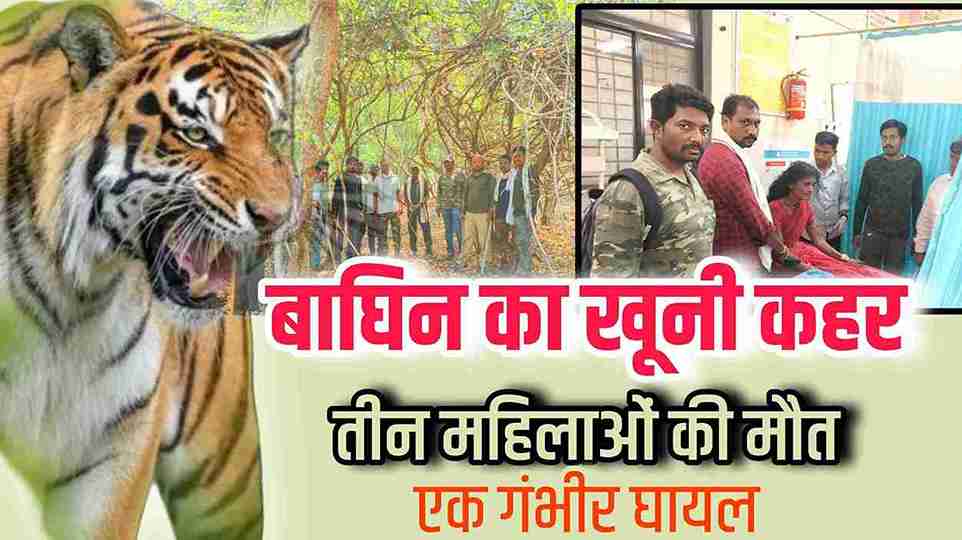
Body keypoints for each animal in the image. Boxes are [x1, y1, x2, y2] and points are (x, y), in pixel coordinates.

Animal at [0, 0, 312, 538]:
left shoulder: (112, 447)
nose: (277, 216)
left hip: (224, 474)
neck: (67, 291)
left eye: (275, 136)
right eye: (196, 135)